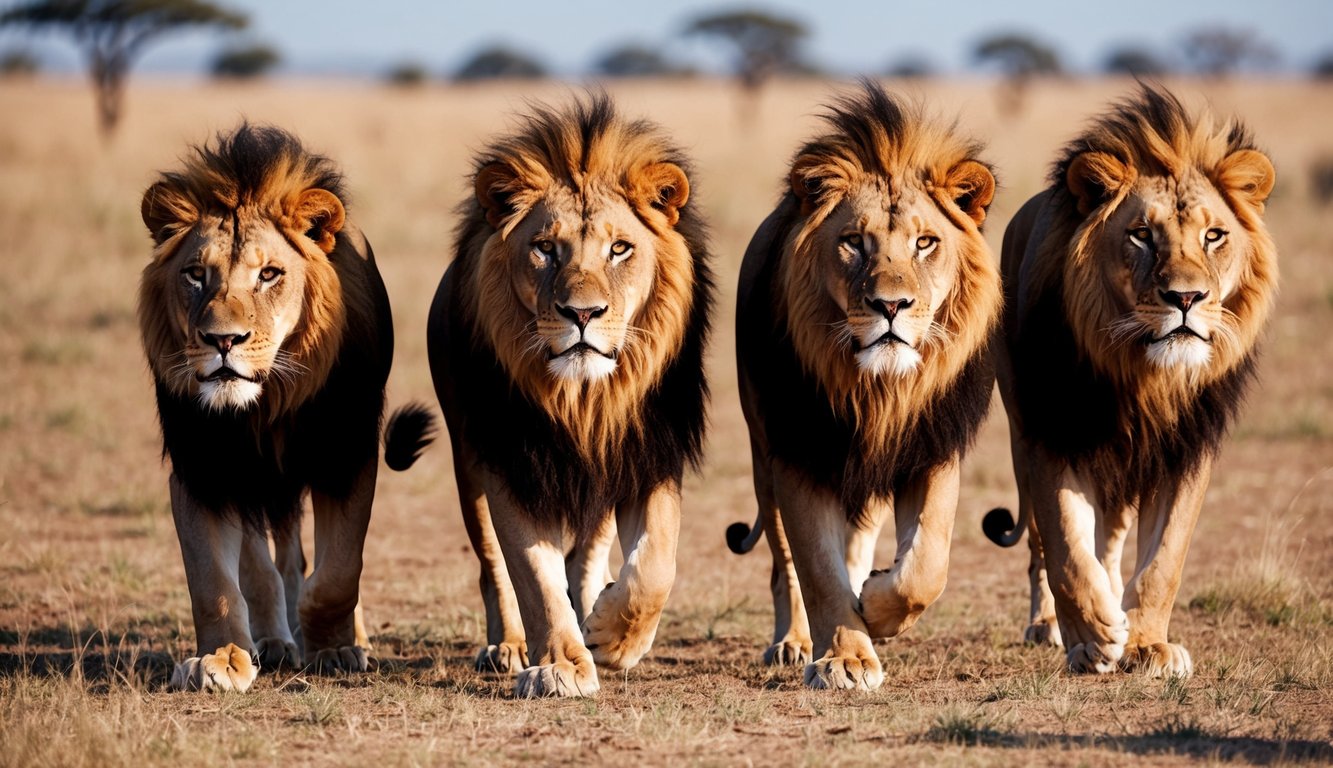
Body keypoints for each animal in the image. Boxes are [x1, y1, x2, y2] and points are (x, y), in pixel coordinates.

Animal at [138, 124, 434, 692]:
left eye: (270, 274)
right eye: (194, 274)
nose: (222, 340)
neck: (265, 406)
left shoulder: (347, 456)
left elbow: (339, 571)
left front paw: (337, 648)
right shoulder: (202, 468)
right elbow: (217, 582)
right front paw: (221, 658)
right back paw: (274, 640)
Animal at [427, 94, 713, 698]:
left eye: (620, 249)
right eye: (544, 249)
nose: (582, 314)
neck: (583, 400)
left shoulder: (647, 451)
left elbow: (658, 562)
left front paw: (613, 637)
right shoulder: (509, 463)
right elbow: (532, 574)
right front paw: (561, 664)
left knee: (588, 551)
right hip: (468, 462)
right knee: (493, 564)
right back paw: (510, 647)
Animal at [727, 81, 1001, 690]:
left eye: (925, 243)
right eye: (853, 242)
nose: (890, 306)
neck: (879, 390)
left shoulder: (933, 446)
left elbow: (925, 567)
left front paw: (875, 605)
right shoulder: (798, 455)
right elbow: (815, 570)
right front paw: (846, 657)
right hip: (762, 455)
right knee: (784, 563)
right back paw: (794, 642)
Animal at [981, 86, 1277, 678]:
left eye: (1214, 236)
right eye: (1142, 236)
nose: (1186, 298)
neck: (1144, 375)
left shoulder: (1186, 448)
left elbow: (1164, 558)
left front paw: (1144, 644)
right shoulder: (1053, 434)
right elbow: (1066, 548)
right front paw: (1093, 637)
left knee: (1111, 540)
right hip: (1022, 429)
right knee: (1042, 548)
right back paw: (1052, 625)